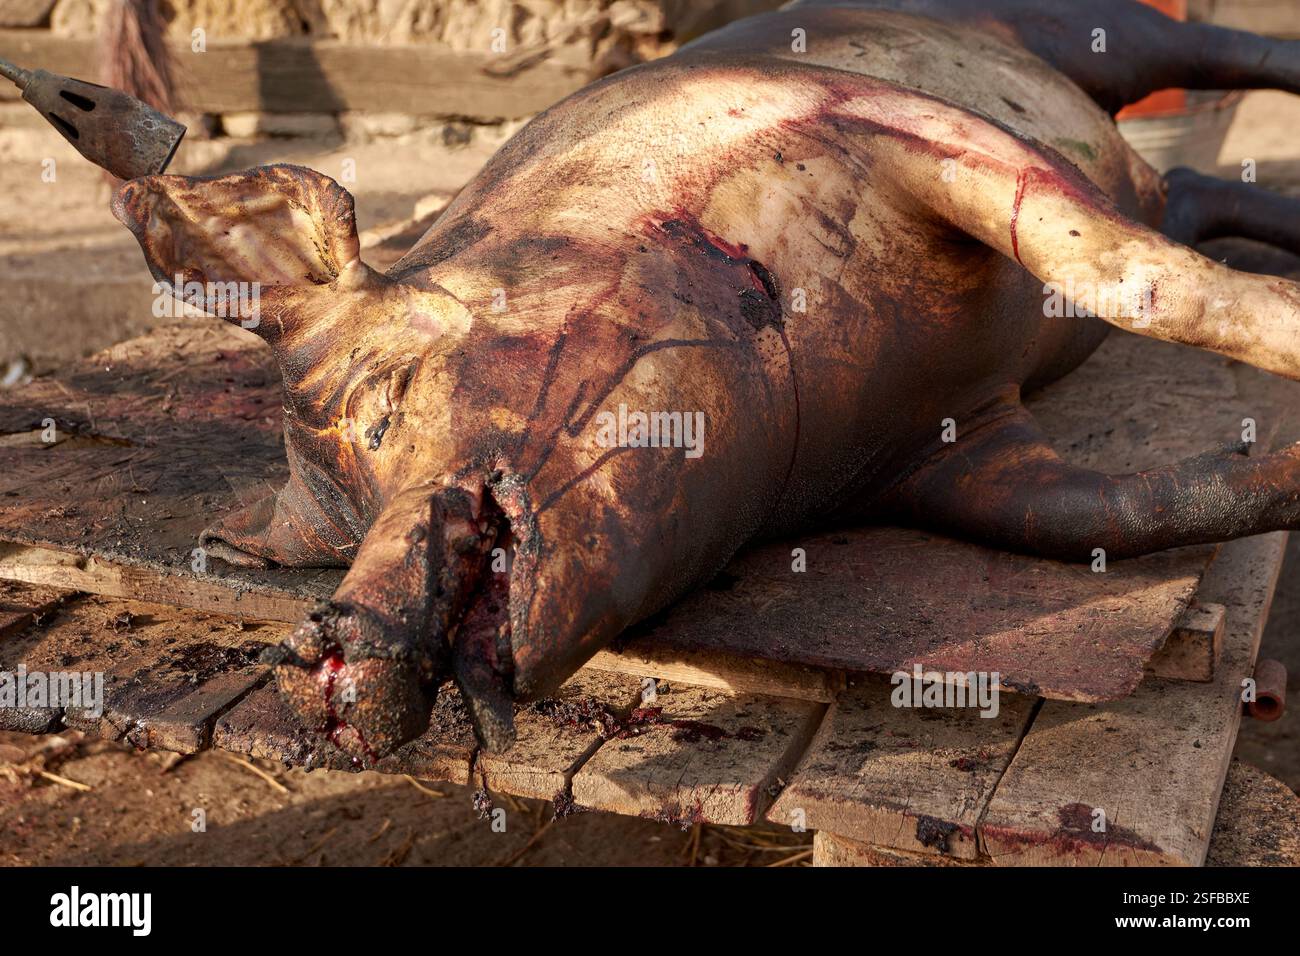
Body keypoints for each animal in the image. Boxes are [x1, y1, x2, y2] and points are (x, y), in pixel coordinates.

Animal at [111, 0, 1300, 757]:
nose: (323, 637)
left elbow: (1125, 276)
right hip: (1149, 170)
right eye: (339, 524)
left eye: (383, 400)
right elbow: (1112, 513)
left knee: (1206, 61)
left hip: (1077, 31)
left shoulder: (869, 114)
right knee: (1193, 189)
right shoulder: (944, 447)